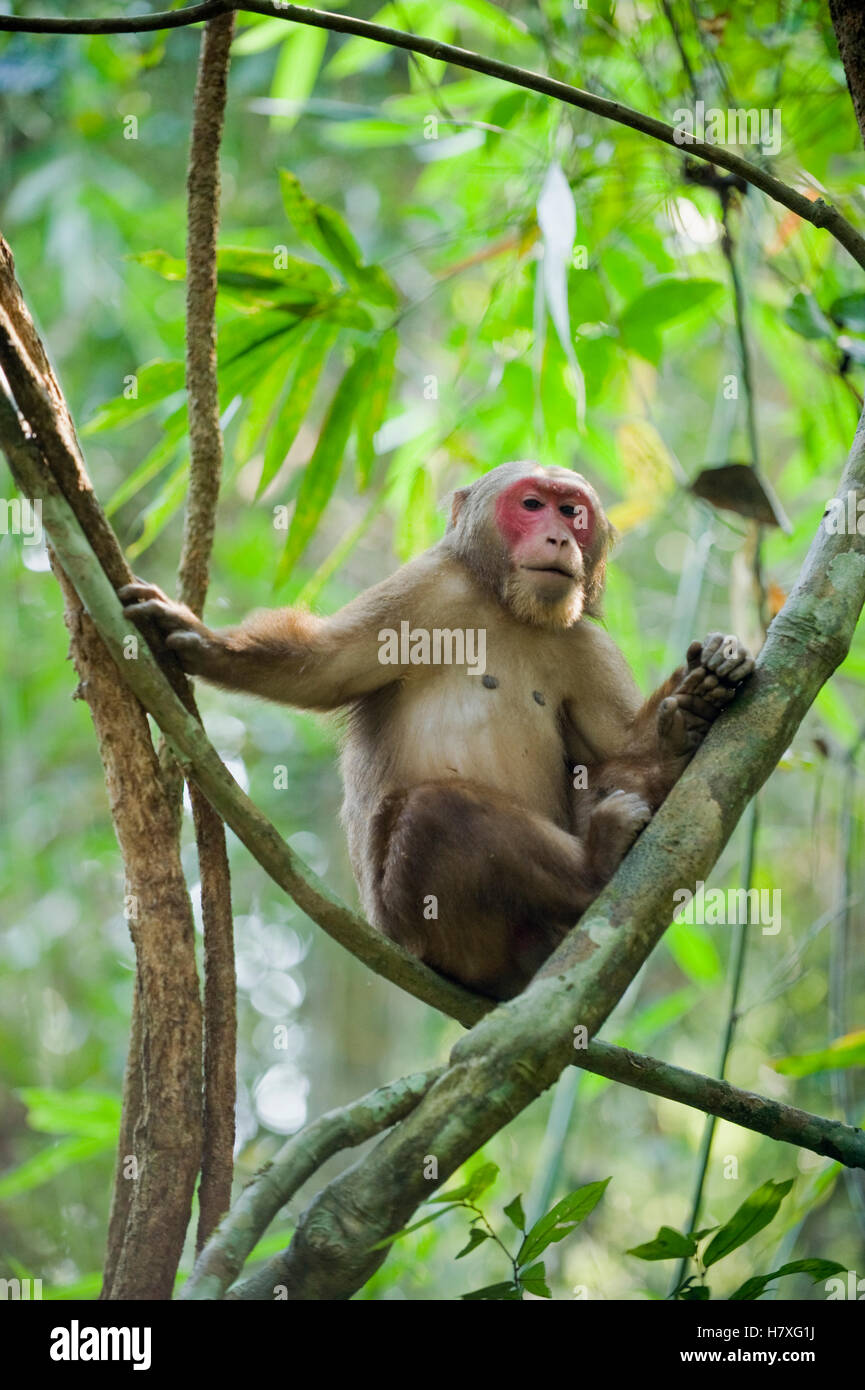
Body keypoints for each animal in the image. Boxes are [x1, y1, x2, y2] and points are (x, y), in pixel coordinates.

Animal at [120, 460, 753, 1000]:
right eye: (531, 505)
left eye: (572, 511)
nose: (560, 538)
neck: (506, 608)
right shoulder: (426, 587)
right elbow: (323, 667)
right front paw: (202, 642)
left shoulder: (584, 643)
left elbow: (613, 747)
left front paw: (699, 692)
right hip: (431, 932)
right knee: (435, 813)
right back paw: (595, 866)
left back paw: (678, 732)